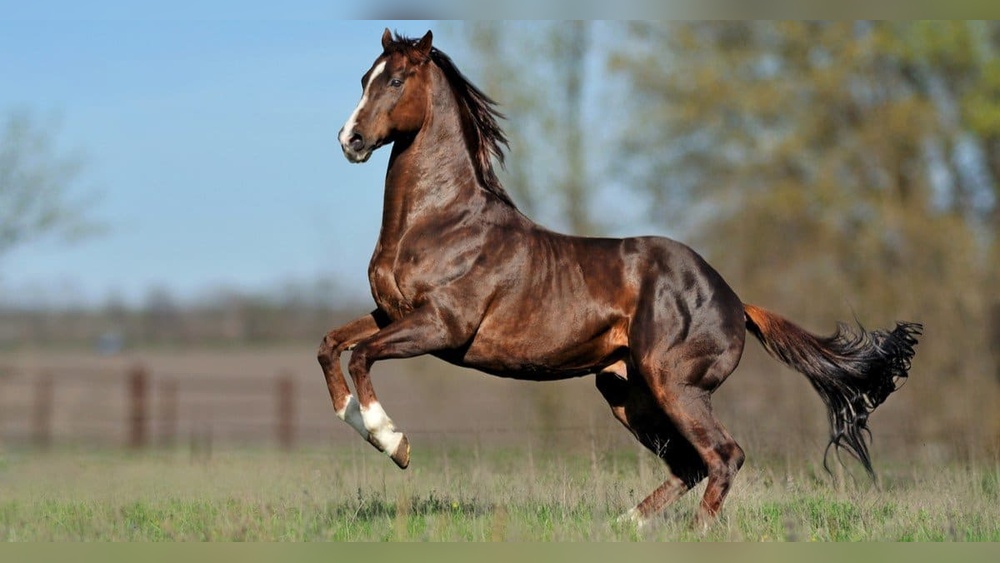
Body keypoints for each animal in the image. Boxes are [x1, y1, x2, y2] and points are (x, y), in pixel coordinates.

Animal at [317, 29, 922, 528]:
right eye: (365, 78)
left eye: (396, 79)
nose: (349, 140)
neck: (442, 222)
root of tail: (735, 301)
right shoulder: (391, 314)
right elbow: (331, 345)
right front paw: (354, 418)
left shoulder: (442, 327)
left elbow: (362, 355)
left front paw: (393, 443)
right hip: (627, 391)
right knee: (689, 465)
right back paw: (623, 524)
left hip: (674, 384)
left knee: (723, 456)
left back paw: (692, 534)